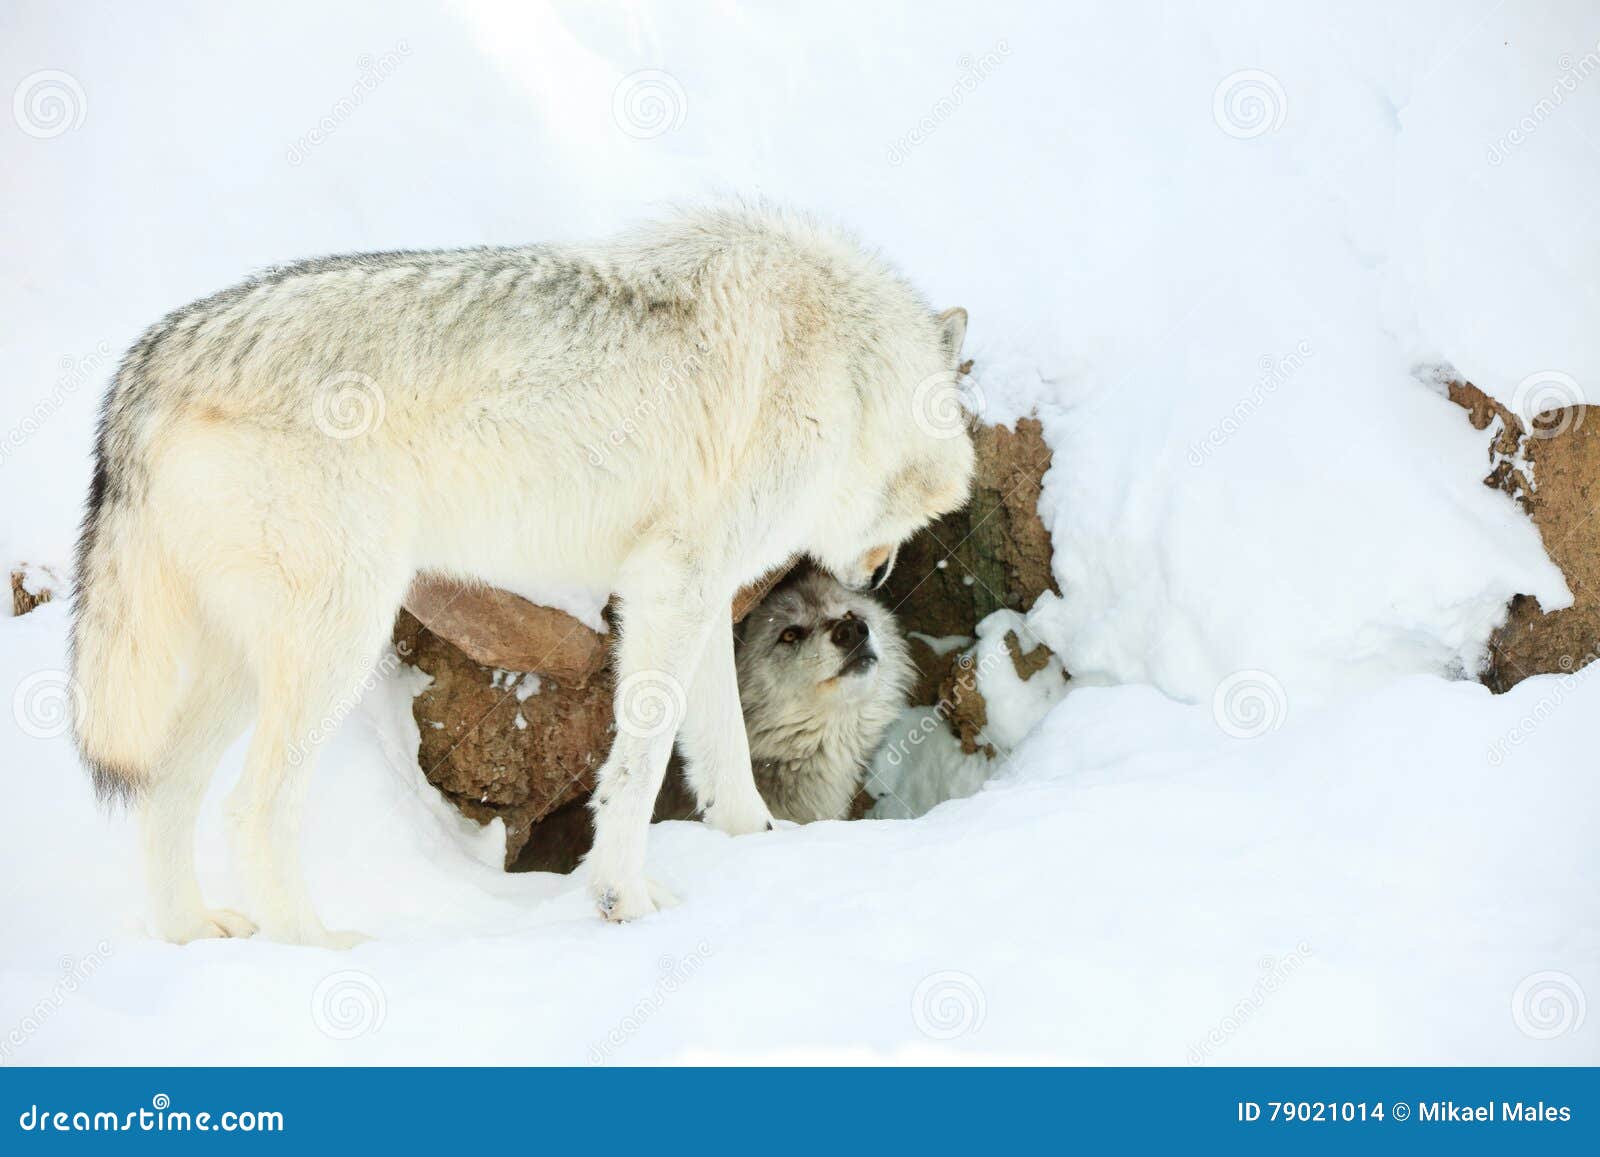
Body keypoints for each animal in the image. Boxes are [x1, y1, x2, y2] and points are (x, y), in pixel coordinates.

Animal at [71, 203, 974, 946]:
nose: (877, 577)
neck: (846, 365)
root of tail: (150, 361)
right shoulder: (670, 585)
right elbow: (640, 769)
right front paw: (621, 900)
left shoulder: (700, 594)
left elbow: (722, 754)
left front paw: (762, 851)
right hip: (337, 646)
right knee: (252, 810)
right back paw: (321, 950)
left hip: (239, 668)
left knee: (164, 792)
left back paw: (193, 936)